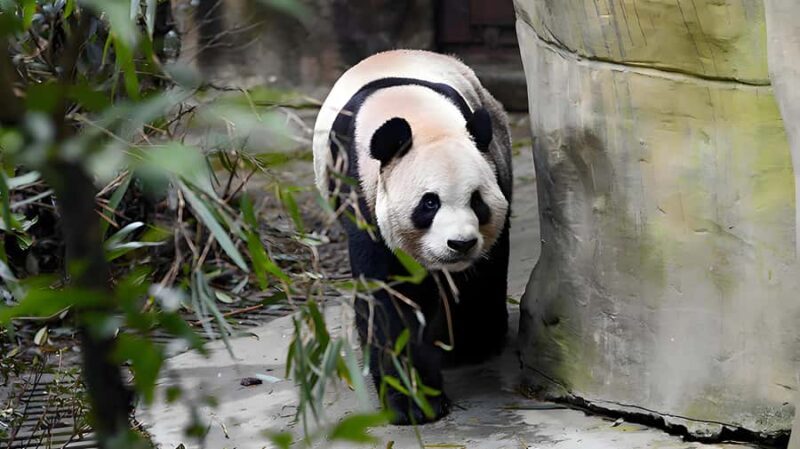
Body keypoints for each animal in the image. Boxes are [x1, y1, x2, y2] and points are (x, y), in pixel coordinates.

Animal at [312, 49, 512, 424]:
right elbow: (390, 297)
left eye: (476, 201)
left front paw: (468, 344)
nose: (460, 244)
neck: (421, 118)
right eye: (429, 203)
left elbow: (481, 272)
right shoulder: (358, 189)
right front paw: (413, 402)